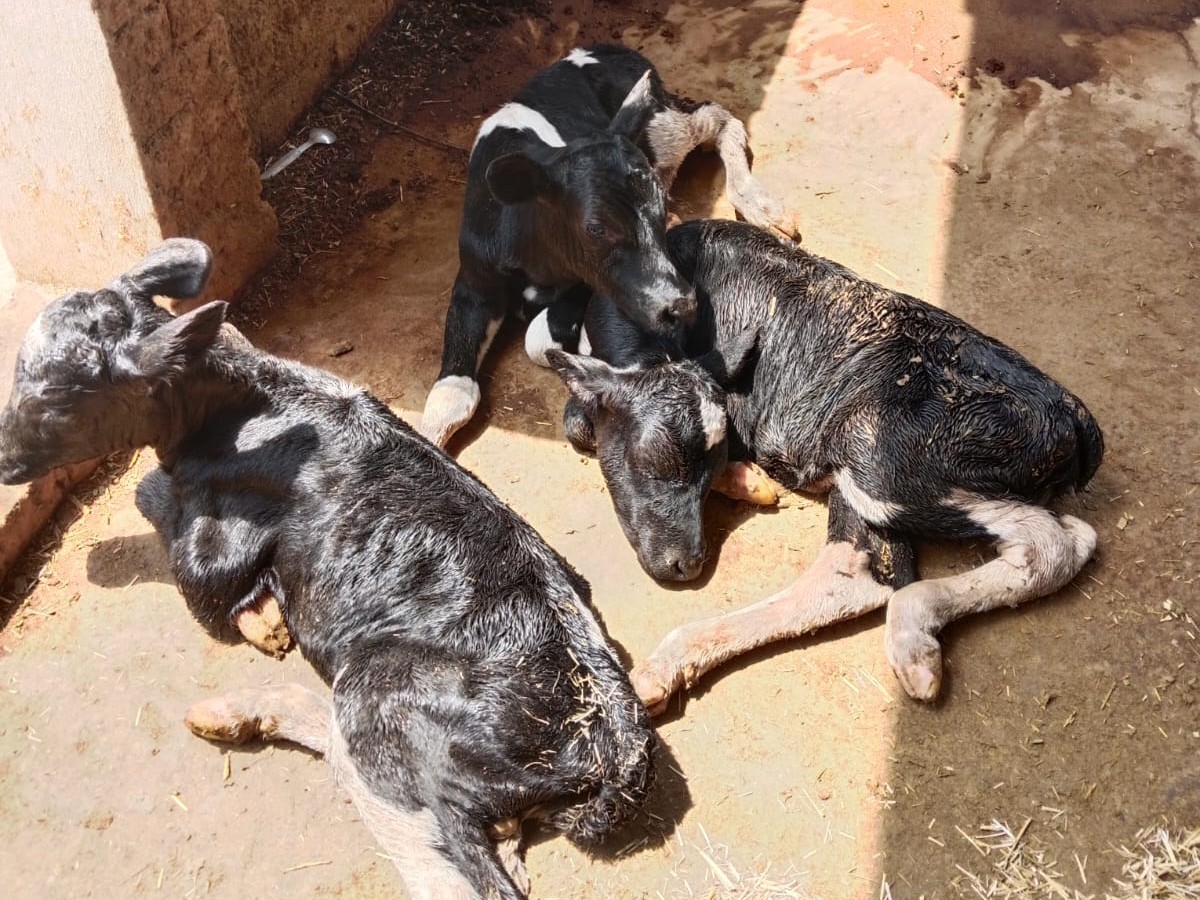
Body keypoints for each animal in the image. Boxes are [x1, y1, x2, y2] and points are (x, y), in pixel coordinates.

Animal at [0, 240, 656, 900]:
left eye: (58, 401)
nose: (3, 458)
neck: (238, 403)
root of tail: (614, 748)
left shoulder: (209, 550)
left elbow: (154, 505)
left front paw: (259, 618)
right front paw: (264, 615)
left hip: (375, 701)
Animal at [419, 43, 797, 449]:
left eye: (661, 205)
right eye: (596, 228)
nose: (682, 305)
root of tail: (610, 49)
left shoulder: (587, 286)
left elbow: (539, 338)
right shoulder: (474, 283)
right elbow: (451, 396)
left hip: (662, 130)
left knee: (712, 116)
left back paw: (759, 204)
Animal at [547, 219, 1104, 712]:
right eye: (656, 453)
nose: (687, 564)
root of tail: (1074, 415)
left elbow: (577, 423)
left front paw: (745, 478)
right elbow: (577, 423)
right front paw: (751, 481)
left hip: (881, 460)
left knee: (1055, 543)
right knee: (856, 573)